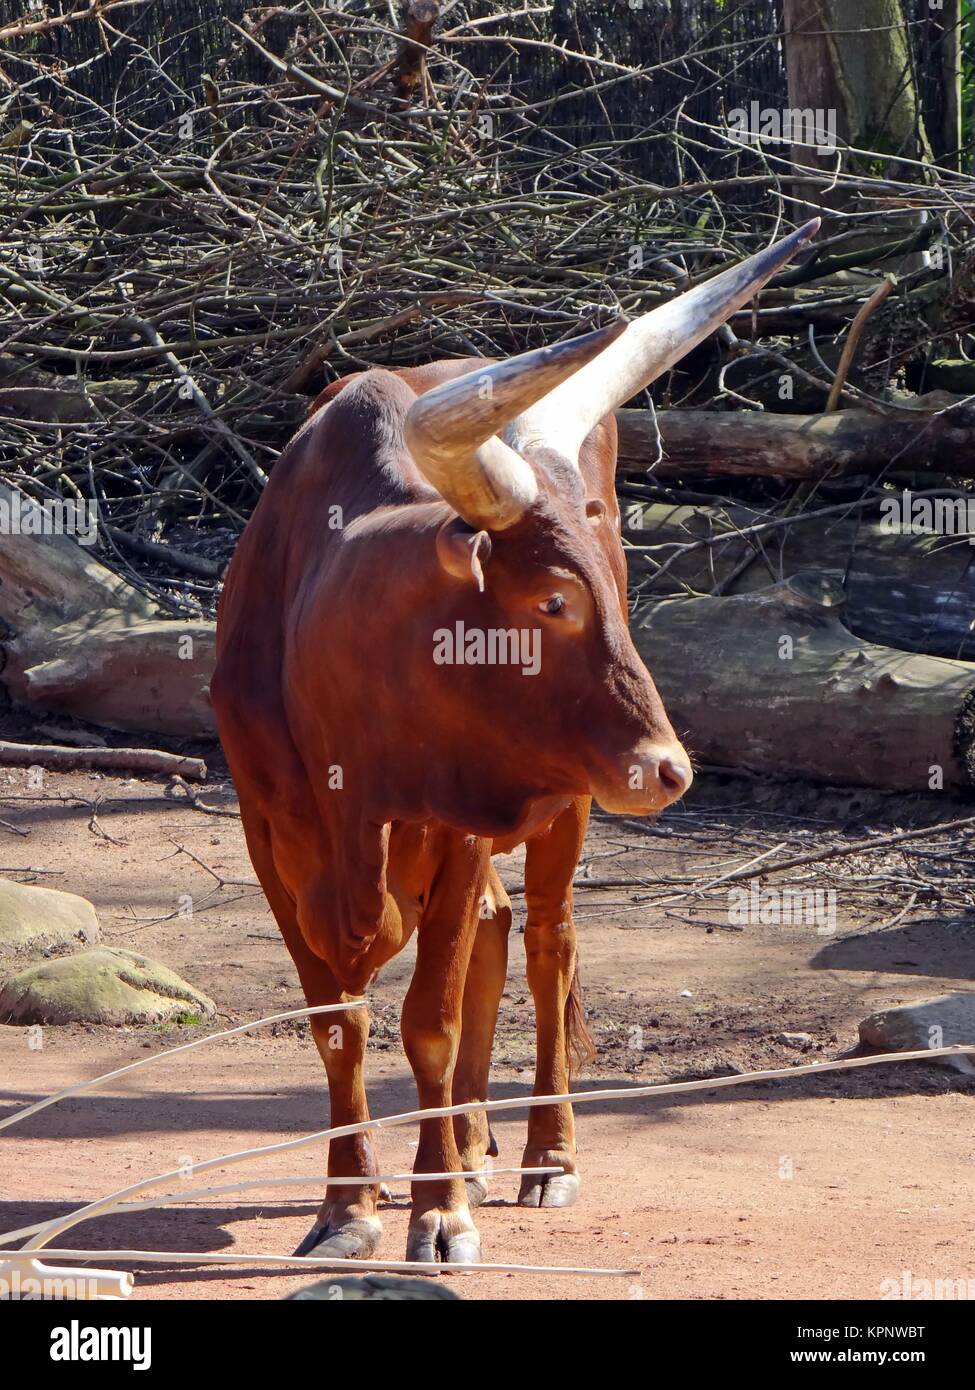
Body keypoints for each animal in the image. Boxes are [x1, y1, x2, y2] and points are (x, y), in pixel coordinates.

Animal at [211, 219, 819, 1264]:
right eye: (551, 601)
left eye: (611, 585)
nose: (668, 769)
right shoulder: (266, 830)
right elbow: (336, 1019)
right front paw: (348, 1207)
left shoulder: (457, 817)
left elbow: (431, 1019)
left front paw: (438, 1213)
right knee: (497, 934)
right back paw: (467, 1143)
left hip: (565, 802)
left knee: (545, 944)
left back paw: (541, 1156)